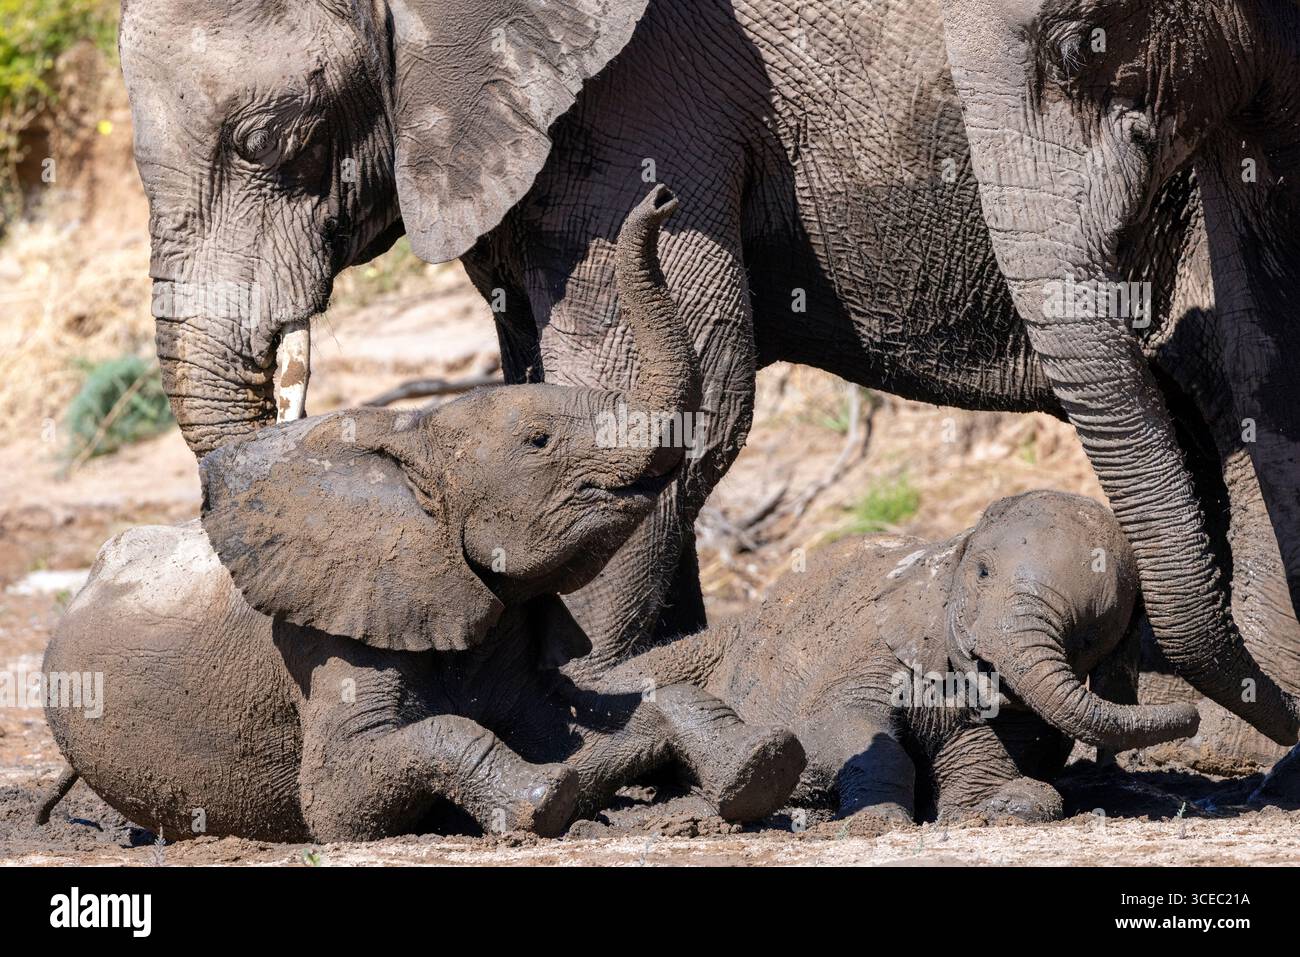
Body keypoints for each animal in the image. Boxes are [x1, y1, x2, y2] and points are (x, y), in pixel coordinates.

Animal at [38, 191, 805, 841]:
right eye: (539, 441)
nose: (661, 198)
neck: (416, 434)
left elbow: (569, 715)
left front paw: (759, 765)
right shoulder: (329, 630)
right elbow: (342, 799)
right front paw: (547, 797)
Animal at [612, 491, 1200, 823]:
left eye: (1089, 633)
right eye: (982, 573)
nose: (1194, 717)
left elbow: (980, 747)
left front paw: (1002, 806)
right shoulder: (873, 651)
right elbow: (835, 728)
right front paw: (880, 823)